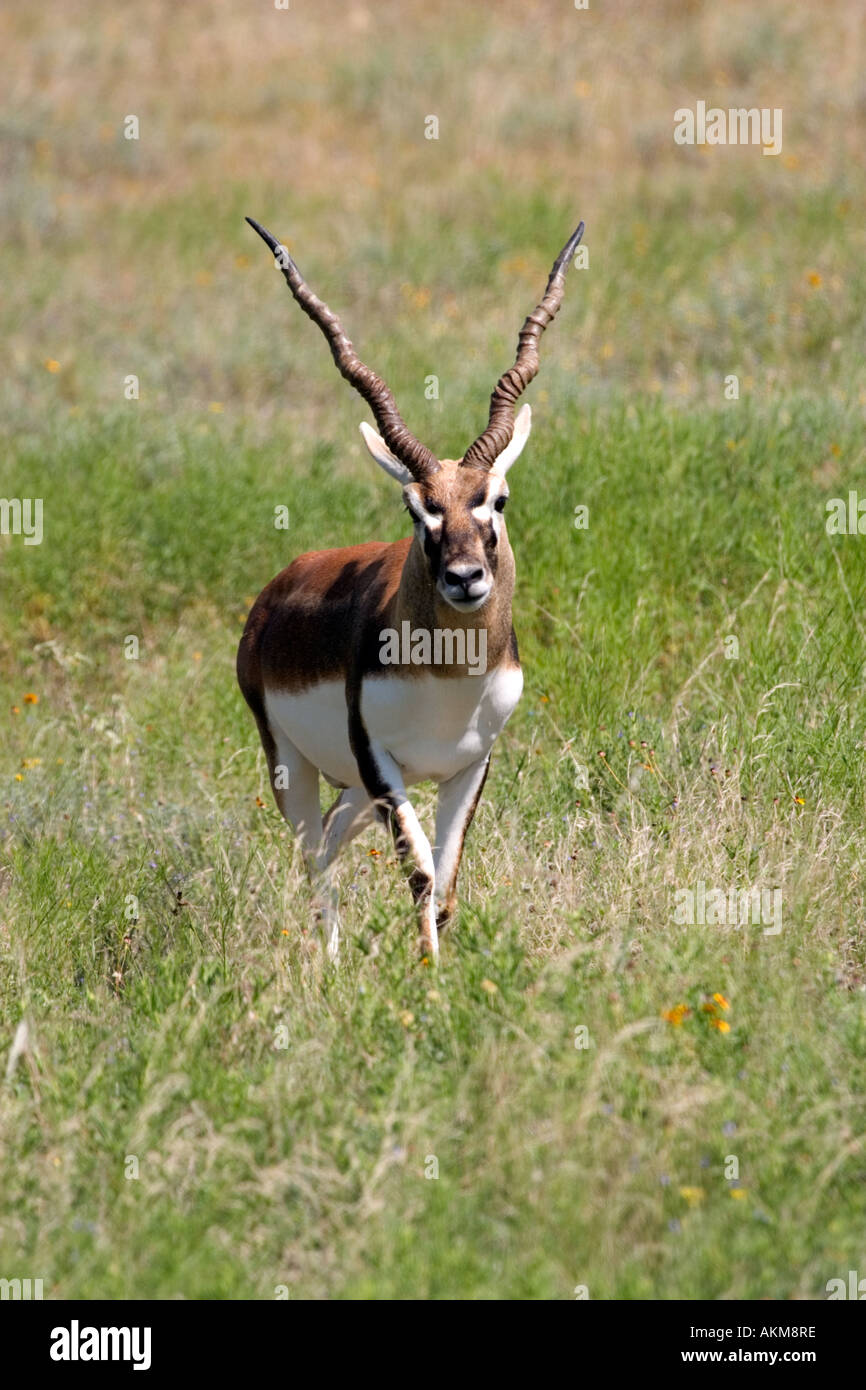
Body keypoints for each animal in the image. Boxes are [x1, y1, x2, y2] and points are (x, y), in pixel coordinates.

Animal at [238, 215, 584, 961]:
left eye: (496, 501)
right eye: (417, 510)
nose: (463, 578)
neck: (447, 680)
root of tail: (275, 593)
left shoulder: (469, 766)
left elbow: (446, 882)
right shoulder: (379, 760)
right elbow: (421, 872)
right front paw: (426, 977)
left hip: (351, 787)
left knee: (331, 840)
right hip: (293, 766)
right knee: (314, 861)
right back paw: (330, 966)